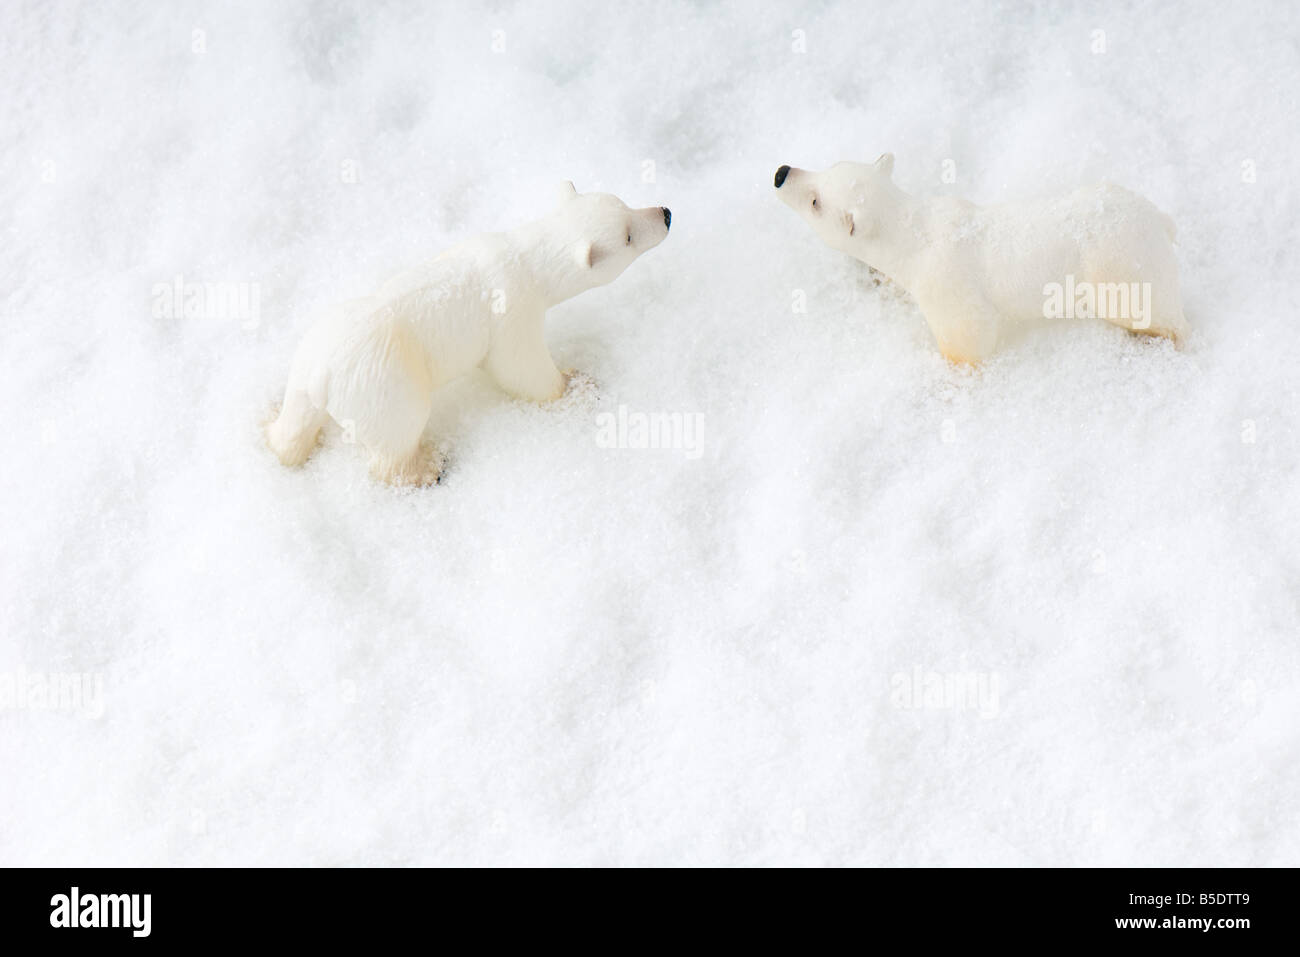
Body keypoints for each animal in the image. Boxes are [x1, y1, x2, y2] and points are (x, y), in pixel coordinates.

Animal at [267, 182, 671, 485]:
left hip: (307, 362)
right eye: (628, 237)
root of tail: (323, 373)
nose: (666, 214)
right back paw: (428, 467)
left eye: (624, 202)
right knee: (398, 431)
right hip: (384, 380)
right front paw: (575, 385)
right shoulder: (513, 310)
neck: (522, 256)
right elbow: (520, 368)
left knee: (295, 421)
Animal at [773, 155, 1187, 364]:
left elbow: (969, 339)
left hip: (1117, 262)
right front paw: (879, 282)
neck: (917, 233)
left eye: (815, 202)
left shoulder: (945, 284)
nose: (781, 172)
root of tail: (1157, 222)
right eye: (828, 167)